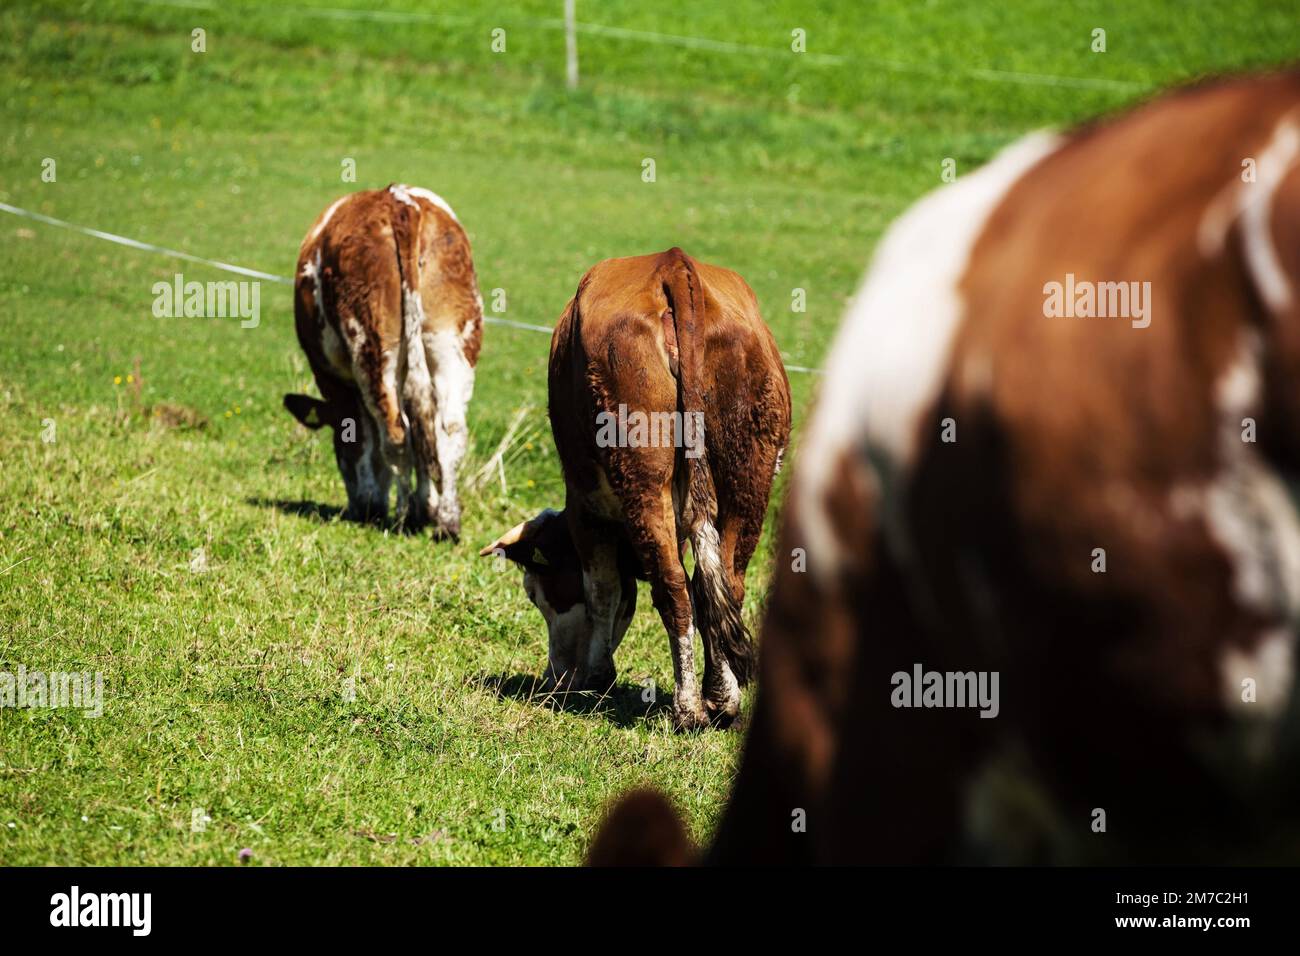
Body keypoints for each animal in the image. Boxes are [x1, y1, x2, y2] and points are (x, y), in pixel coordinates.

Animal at [283, 184, 483, 539]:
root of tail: (400, 202)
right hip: (452, 342)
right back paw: (446, 521)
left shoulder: (335, 381)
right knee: (448, 430)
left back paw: (404, 515)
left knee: (395, 432)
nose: (358, 506)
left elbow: (364, 439)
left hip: (371, 345)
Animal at [481, 249, 791, 731]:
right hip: (749, 475)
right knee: (724, 584)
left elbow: (602, 589)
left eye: (537, 594)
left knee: (674, 589)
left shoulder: (585, 510)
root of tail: (674, 265)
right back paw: (722, 700)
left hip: (642, 478)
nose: (556, 676)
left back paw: (689, 709)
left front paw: (597, 673)